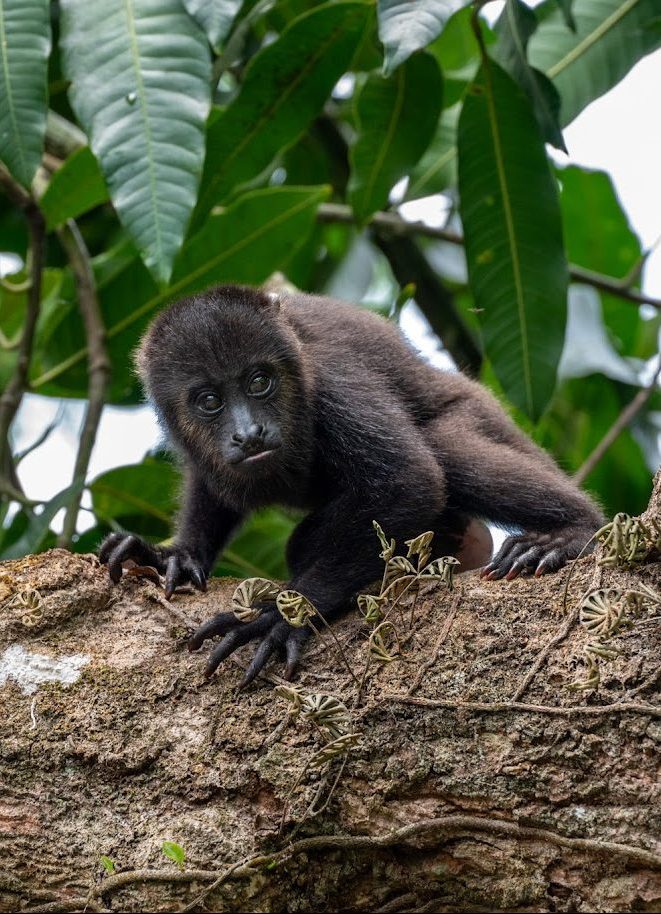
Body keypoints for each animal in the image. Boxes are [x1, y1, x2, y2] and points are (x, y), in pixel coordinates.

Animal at [99, 284, 604, 688]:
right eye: (209, 401)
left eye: (259, 381)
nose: (249, 433)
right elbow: (210, 487)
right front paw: (175, 556)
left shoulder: (332, 383)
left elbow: (408, 479)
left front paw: (282, 616)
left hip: (475, 410)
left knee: (449, 451)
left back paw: (571, 533)